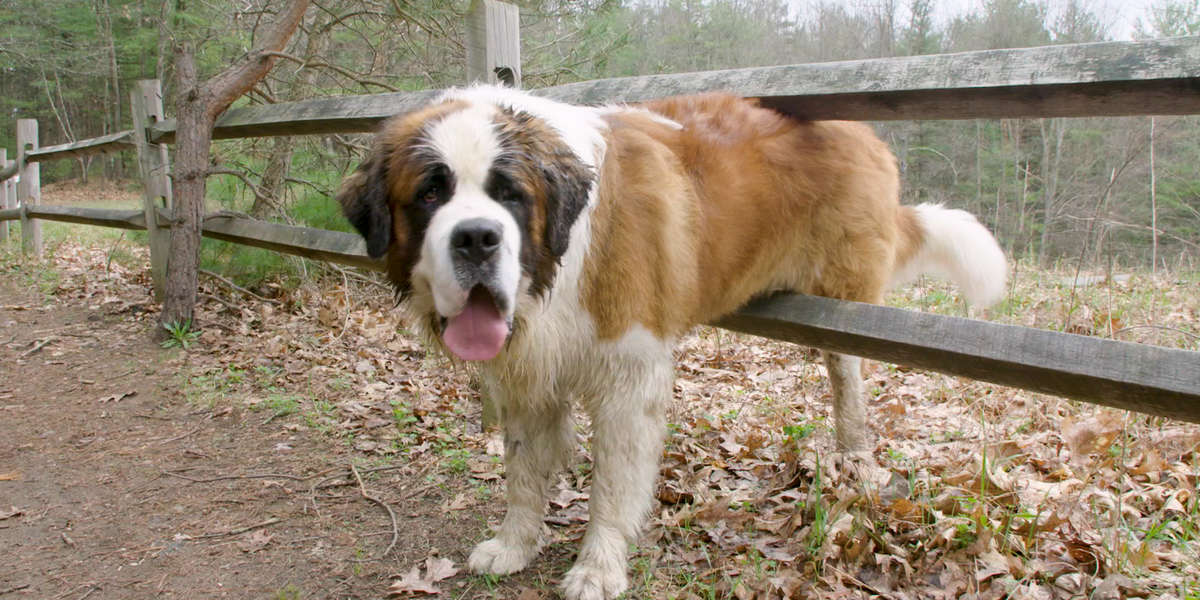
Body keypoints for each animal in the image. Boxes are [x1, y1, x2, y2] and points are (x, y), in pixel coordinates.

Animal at [336, 85, 1003, 600]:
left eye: (510, 194)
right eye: (430, 194)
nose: (476, 238)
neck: (560, 262)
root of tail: (864, 133)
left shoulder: (629, 373)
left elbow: (611, 485)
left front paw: (598, 568)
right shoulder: (530, 373)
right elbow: (523, 470)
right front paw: (515, 543)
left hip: (842, 306)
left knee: (849, 381)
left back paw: (856, 459)